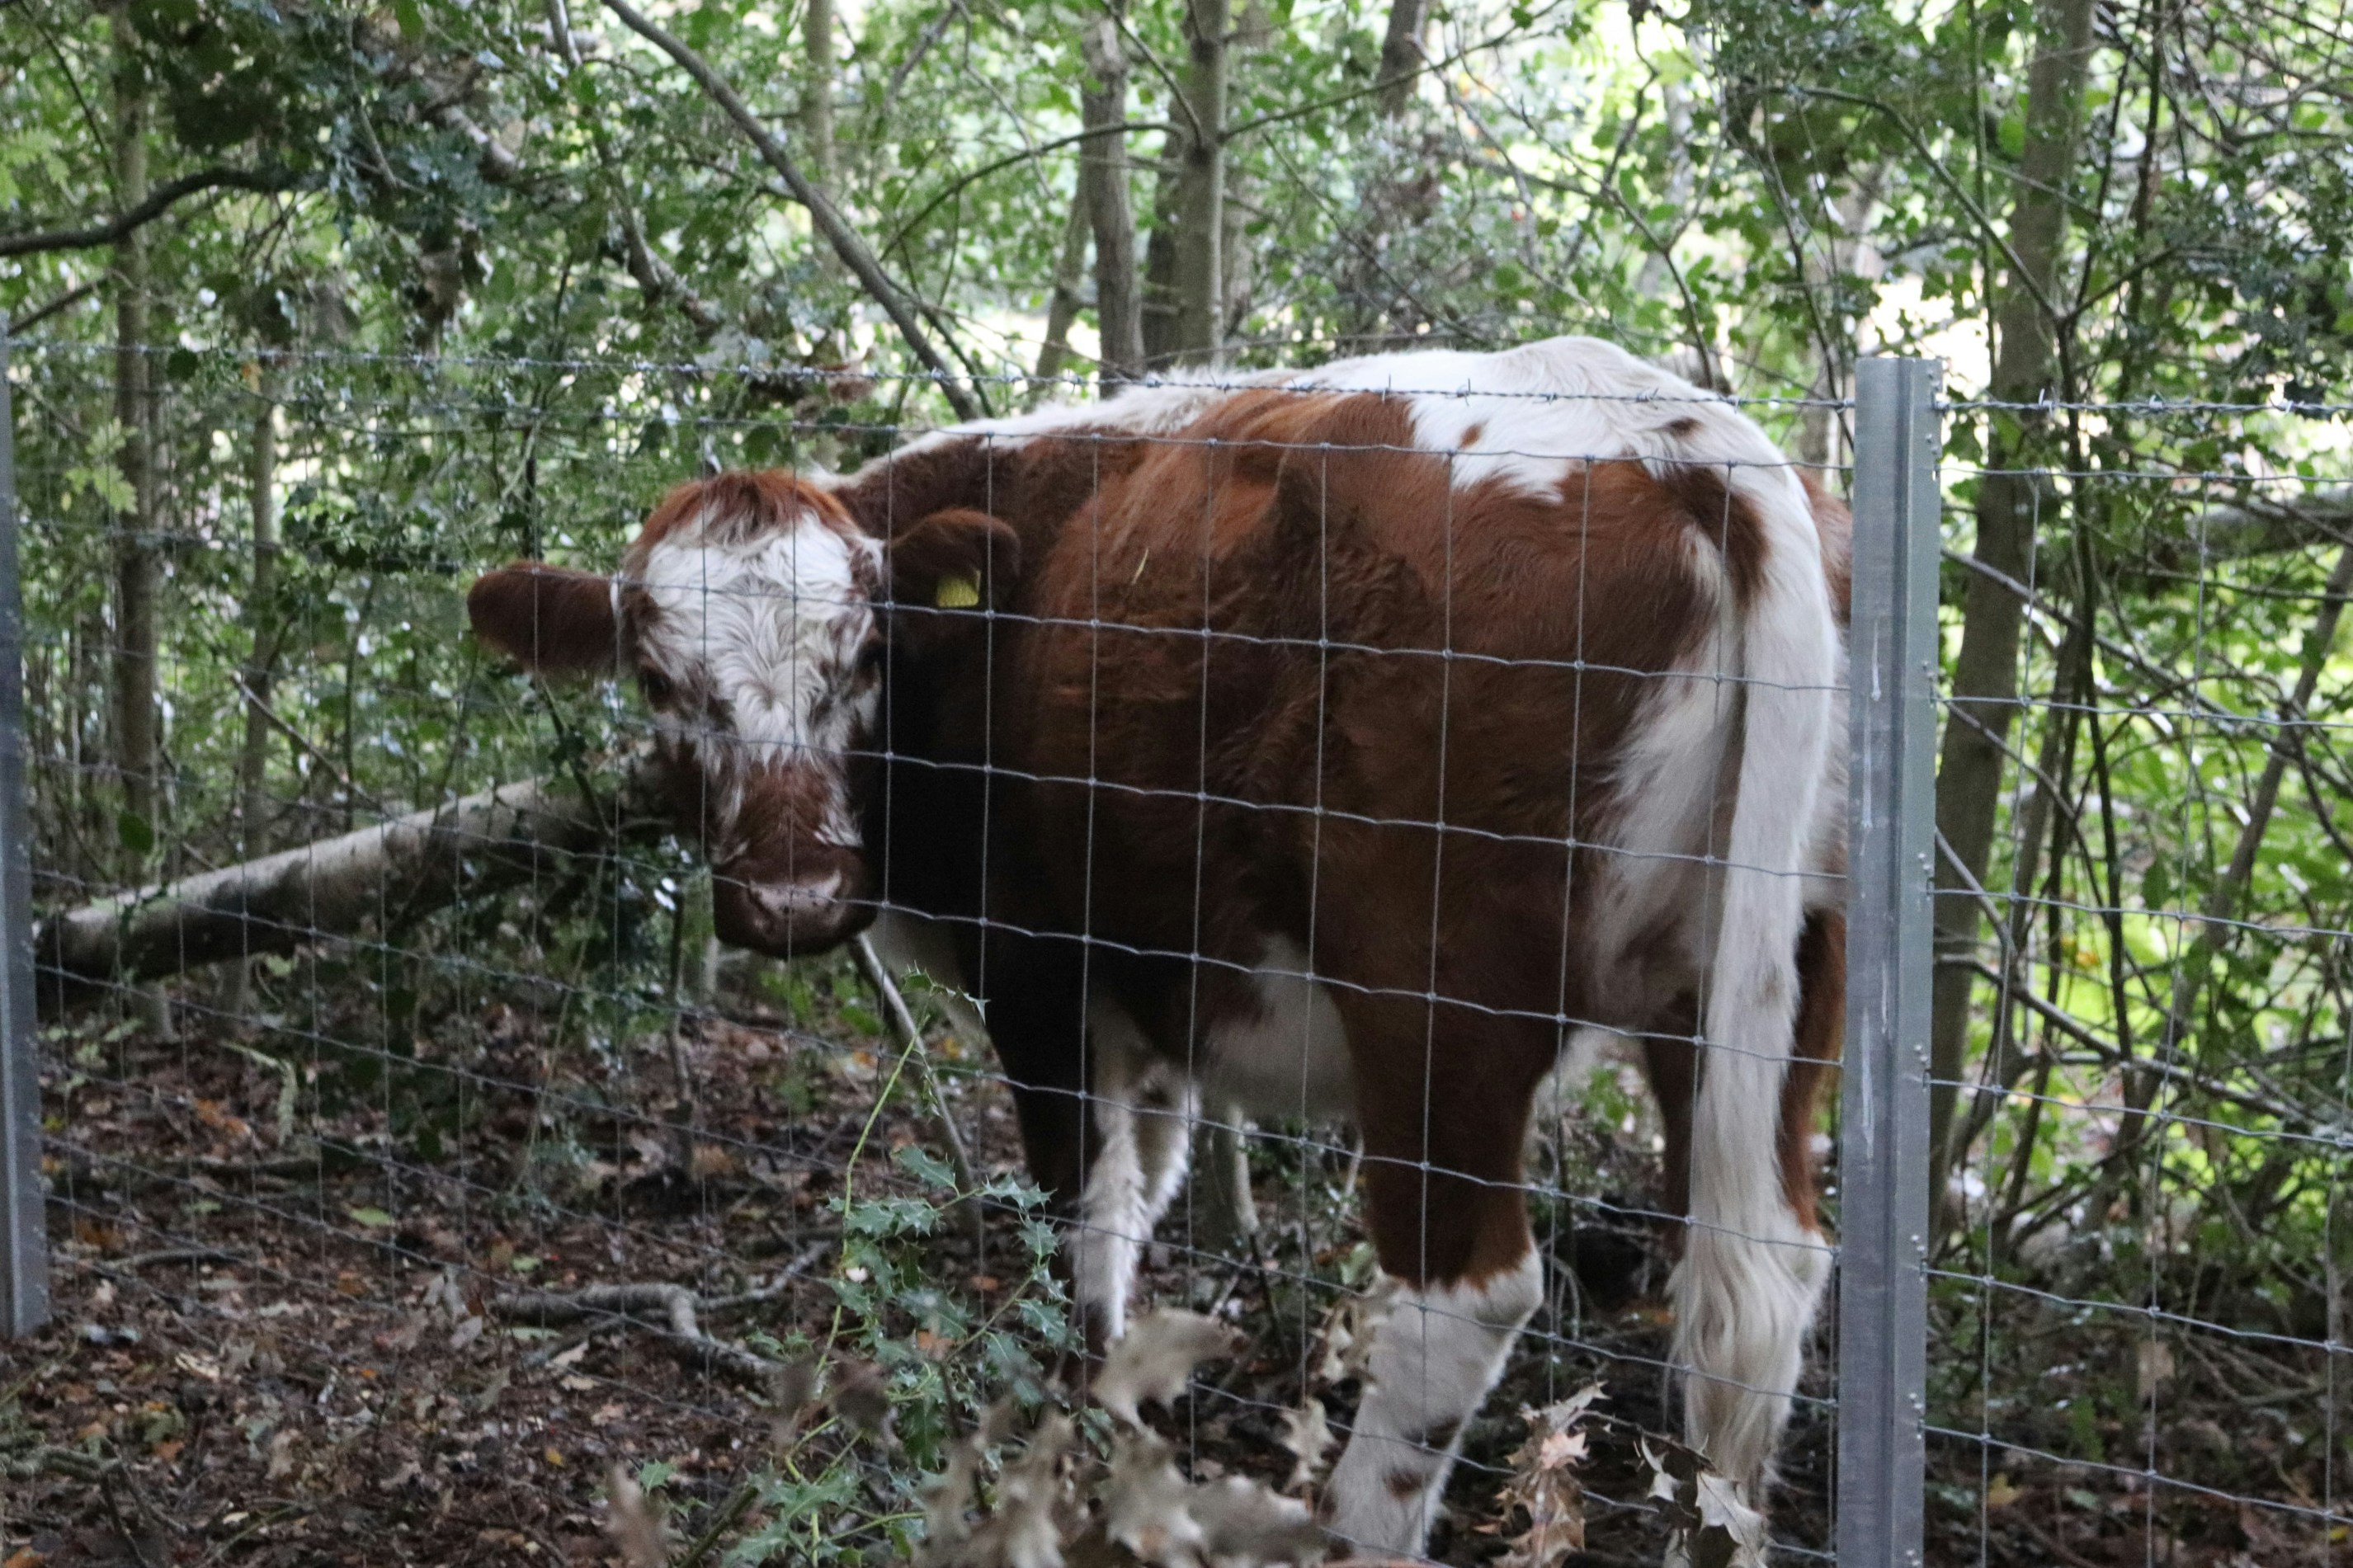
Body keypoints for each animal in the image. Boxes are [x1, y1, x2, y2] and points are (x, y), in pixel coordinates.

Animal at [466, 335, 1850, 1559]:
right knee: (1760, 1286)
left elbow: (1078, 1218)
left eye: (858, 657)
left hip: (1433, 993)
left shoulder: (1035, 961)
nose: (797, 894)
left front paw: (1061, 1441)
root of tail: (1669, 433)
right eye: (661, 682)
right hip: (1773, 973)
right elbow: (1142, 1189)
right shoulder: (1146, 981)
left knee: (1463, 1296)